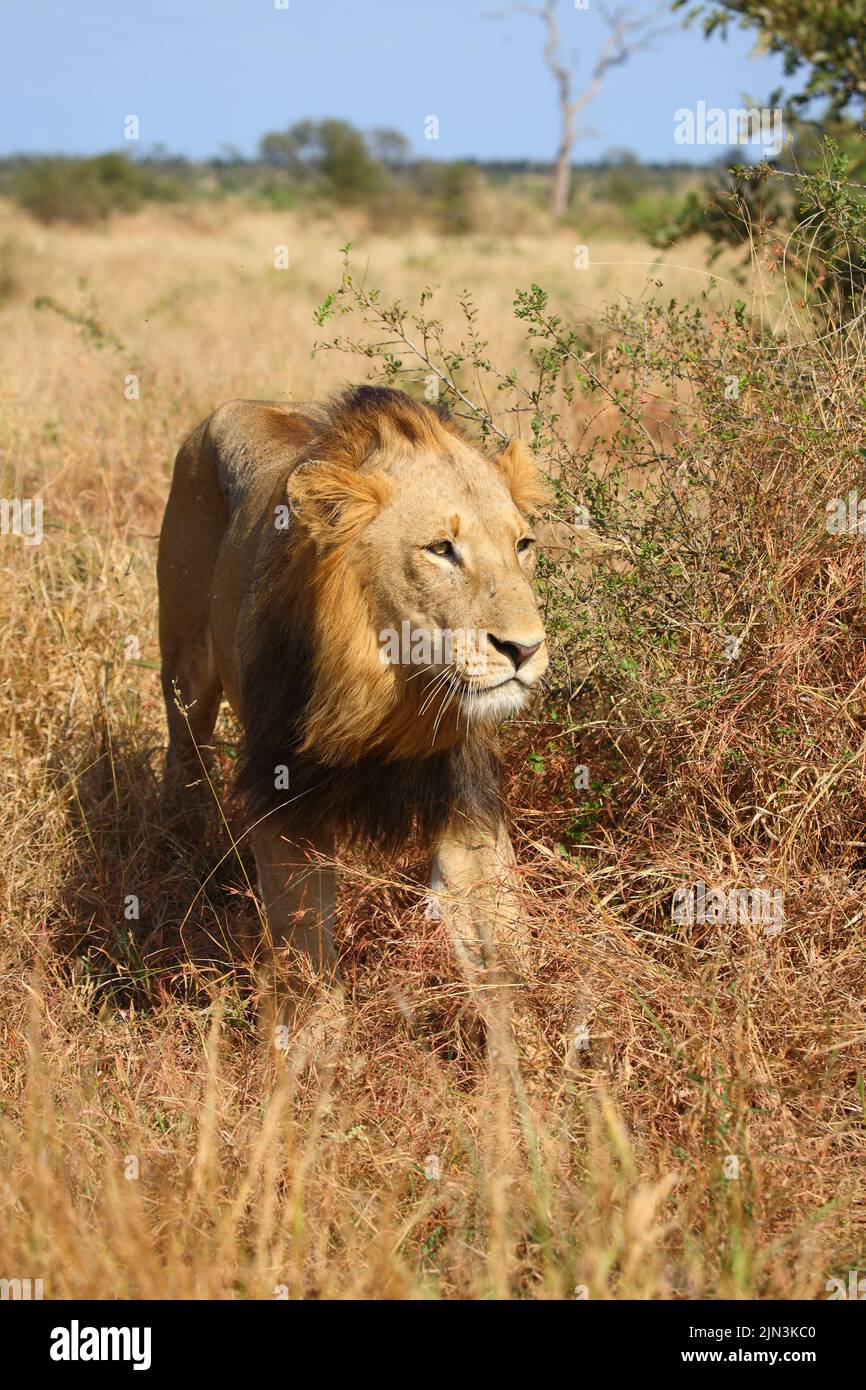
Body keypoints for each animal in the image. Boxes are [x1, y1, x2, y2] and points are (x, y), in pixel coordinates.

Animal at [157, 385, 548, 1045]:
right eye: (441, 549)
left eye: (522, 545)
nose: (525, 649)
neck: (390, 692)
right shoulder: (286, 796)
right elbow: (305, 952)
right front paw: (309, 1056)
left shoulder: (462, 799)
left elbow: (502, 954)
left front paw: (535, 1061)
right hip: (186, 673)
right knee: (182, 762)